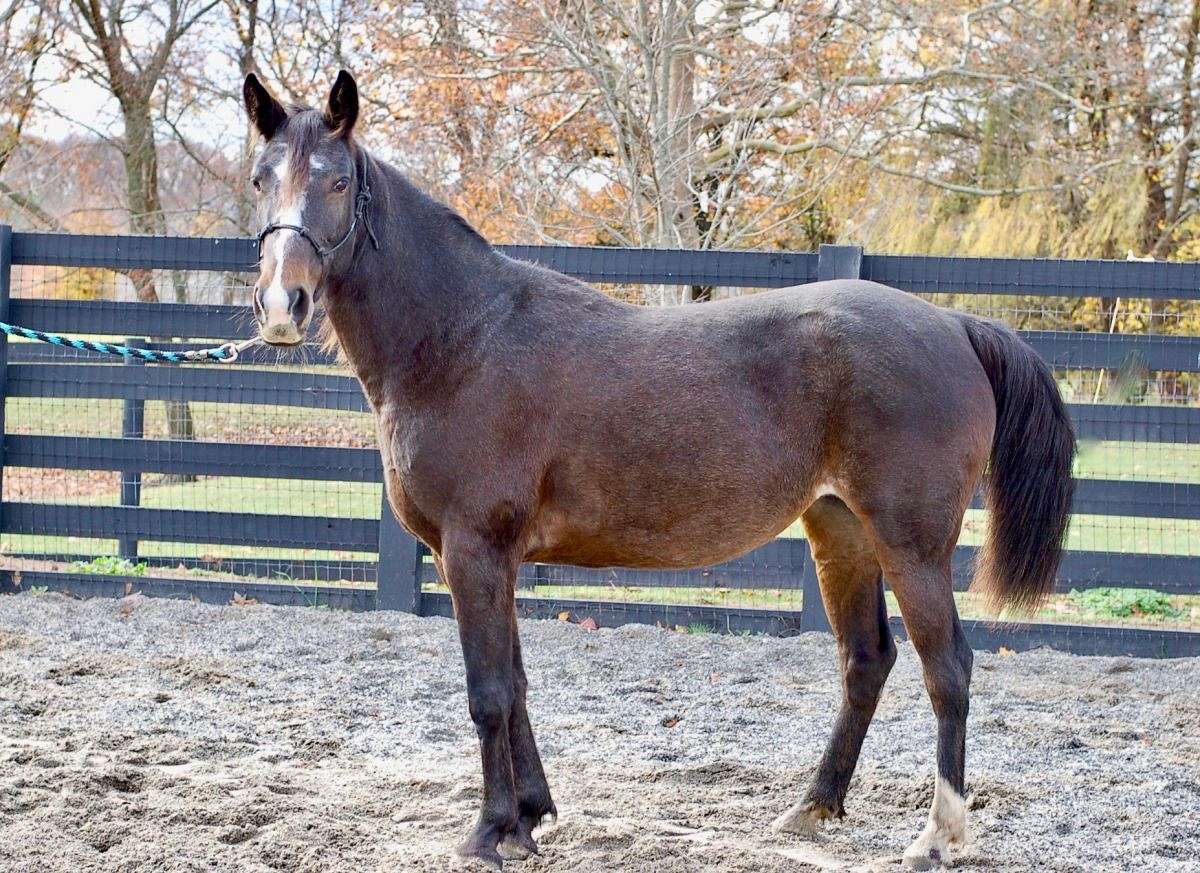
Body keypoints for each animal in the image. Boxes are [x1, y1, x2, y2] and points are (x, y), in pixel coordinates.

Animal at [241, 70, 1075, 870]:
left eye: (337, 181)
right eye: (260, 177)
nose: (282, 304)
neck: (462, 337)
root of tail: (954, 324)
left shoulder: (472, 549)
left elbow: (488, 692)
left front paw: (487, 831)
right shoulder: (492, 558)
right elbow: (517, 684)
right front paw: (529, 817)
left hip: (912, 545)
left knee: (949, 668)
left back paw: (938, 833)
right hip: (840, 531)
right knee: (867, 660)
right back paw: (812, 806)